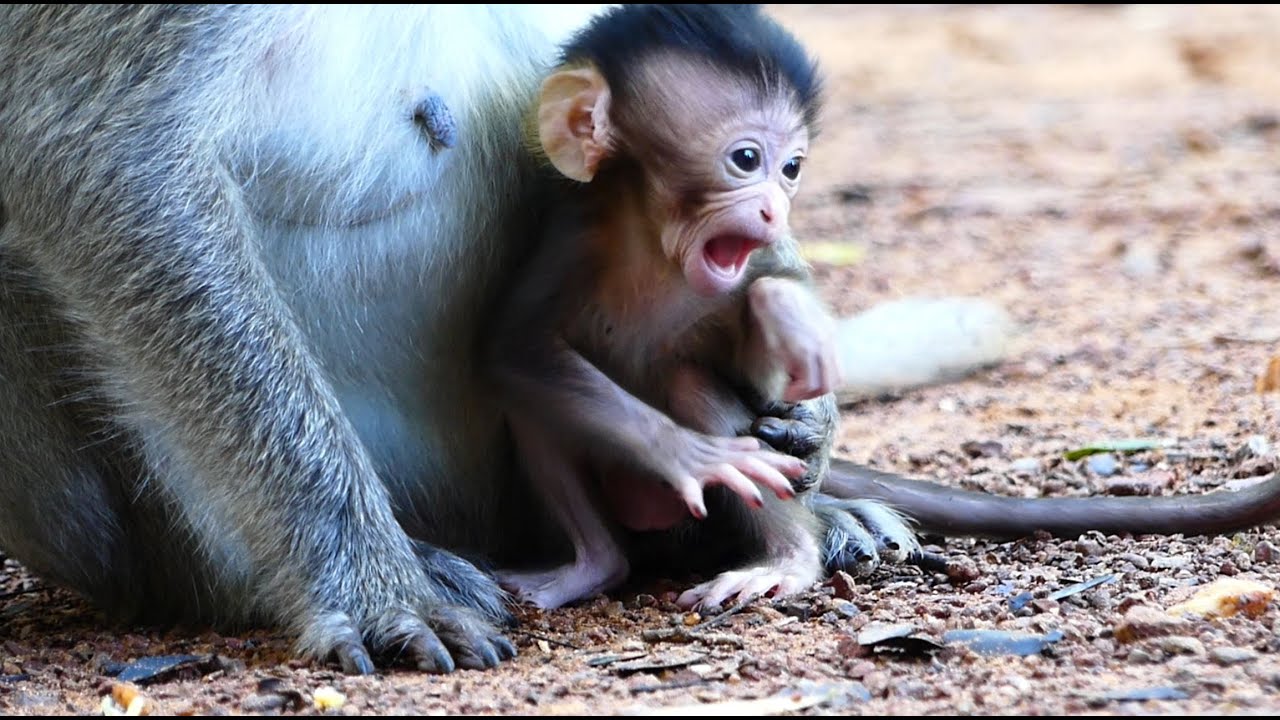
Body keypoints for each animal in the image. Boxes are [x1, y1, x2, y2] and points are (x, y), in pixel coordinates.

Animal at [484, 3, 919, 611]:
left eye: (791, 169)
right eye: (746, 159)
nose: (774, 209)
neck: (658, 250)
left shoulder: (753, 264)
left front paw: (791, 316)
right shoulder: (571, 236)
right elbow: (519, 349)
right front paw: (693, 456)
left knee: (687, 381)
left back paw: (788, 562)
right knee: (530, 402)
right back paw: (594, 566)